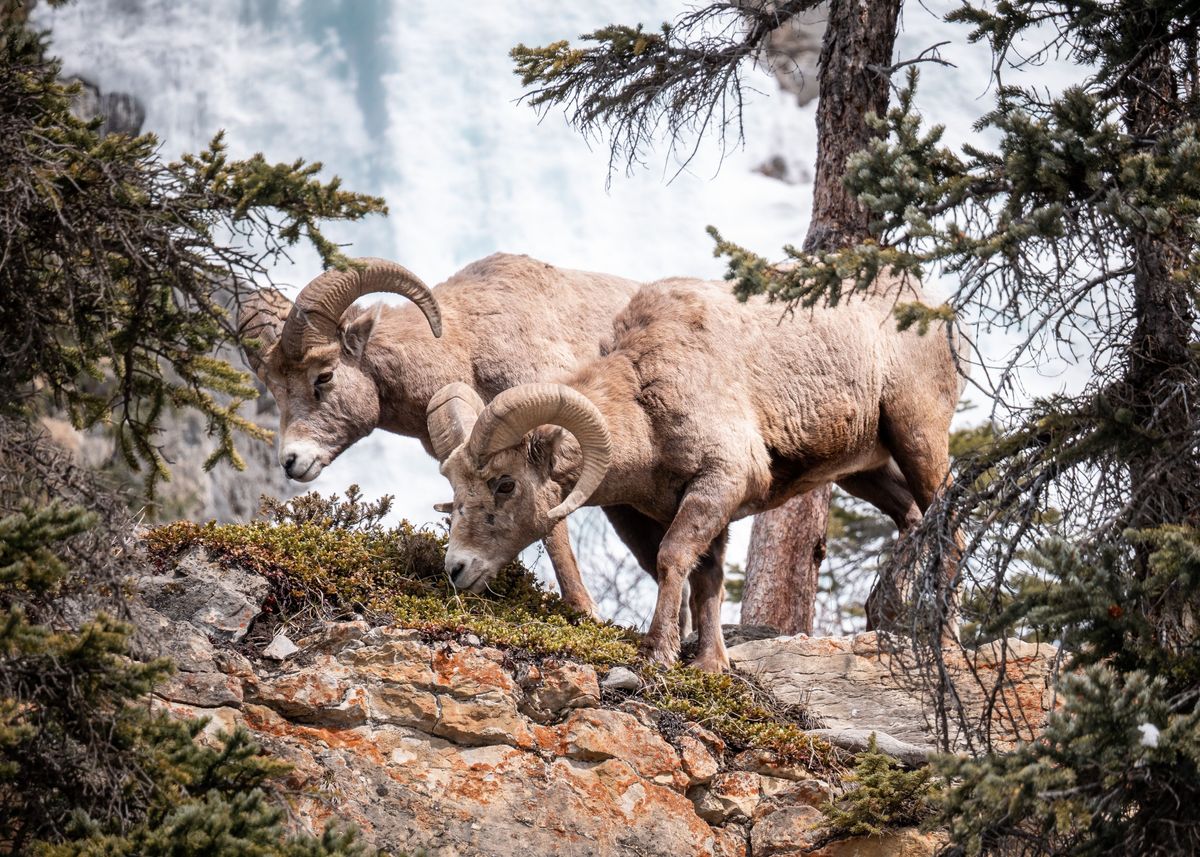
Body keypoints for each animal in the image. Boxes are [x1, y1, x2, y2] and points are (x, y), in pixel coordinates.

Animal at [238, 253, 642, 616]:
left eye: (324, 376)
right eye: (275, 391)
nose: (291, 462)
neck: (469, 346)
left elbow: (551, 527)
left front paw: (584, 611)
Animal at [426, 274, 963, 672]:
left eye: (505, 483)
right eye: (454, 488)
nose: (457, 569)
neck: (646, 405)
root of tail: (935, 310)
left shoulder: (717, 484)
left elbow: (673, 560)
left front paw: (661, 654)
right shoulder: (683, 507)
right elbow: (707, 580)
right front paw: (710, 663)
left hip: (917, 436)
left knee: (947, 527)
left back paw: (945, 639)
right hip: (864, 472)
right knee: (911, 519)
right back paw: (887, 617)